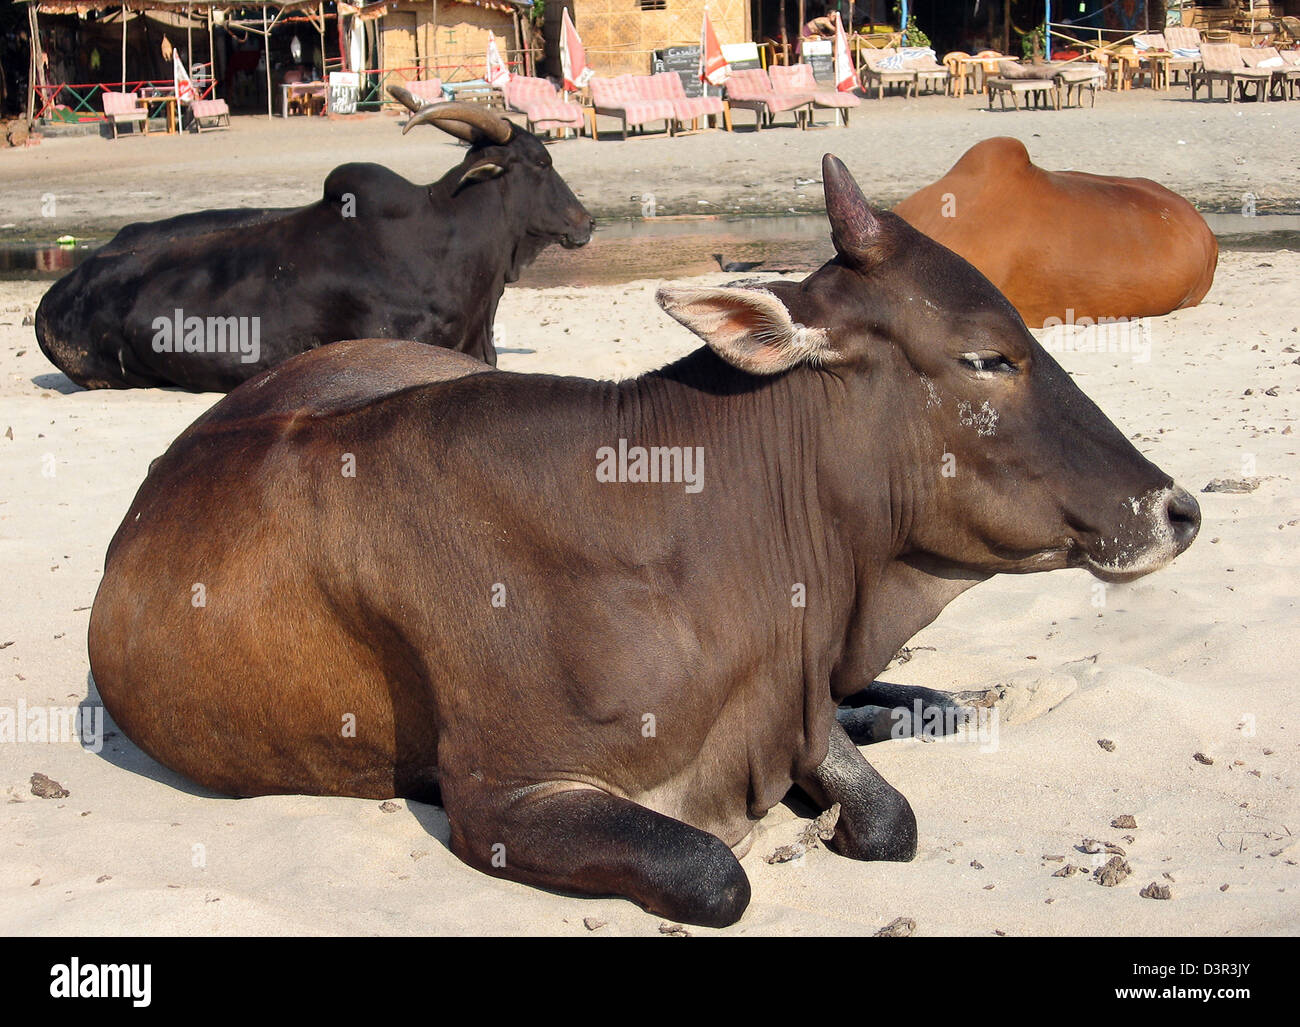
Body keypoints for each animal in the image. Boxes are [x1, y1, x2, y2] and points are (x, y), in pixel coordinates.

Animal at [87, 155, 1200, 927]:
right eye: (986, 357)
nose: (1176, 507)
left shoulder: (790, 686)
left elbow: (885, 812)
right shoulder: (503, 798)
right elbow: (715, 873)